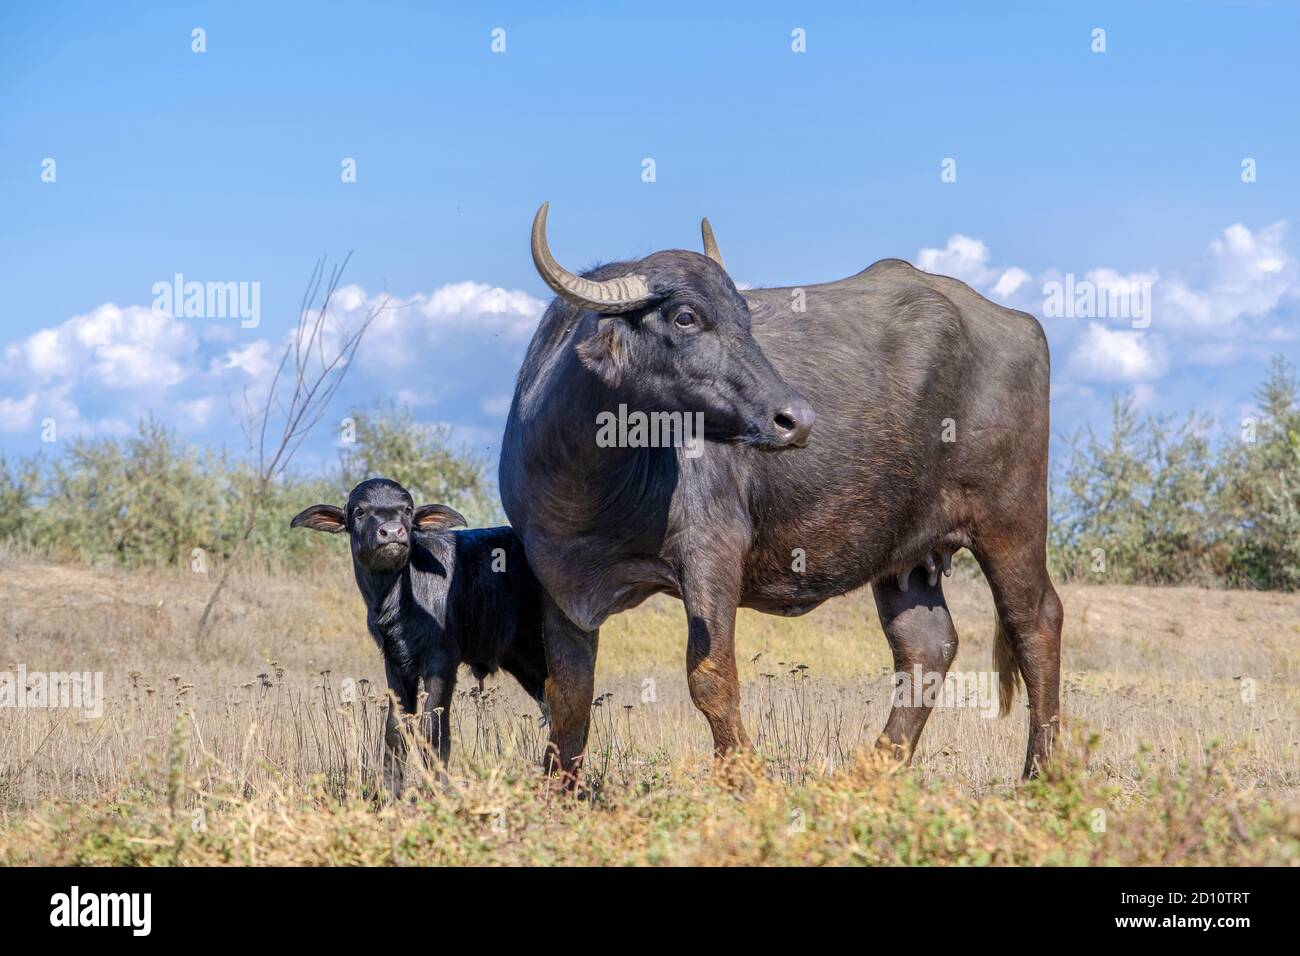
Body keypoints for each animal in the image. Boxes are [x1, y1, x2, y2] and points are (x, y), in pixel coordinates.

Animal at [291, 478, 547, 790]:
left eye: (407, 510)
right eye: (359, 511)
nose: (392, 532)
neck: (397, 597)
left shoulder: (442, 661)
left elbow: (433, 730)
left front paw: (439, 789)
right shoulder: (396, 661)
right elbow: (396, 728)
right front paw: (390, 792)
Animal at [499, 204, 1063, 788]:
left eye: (744, 317)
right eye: (685, 317)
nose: (796, 418)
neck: (590, 482)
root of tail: (1017, 322)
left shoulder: (711, 555)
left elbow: (710, 677)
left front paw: (745, 777)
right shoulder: (556, 578)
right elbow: (568, 695)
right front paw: (557, 787)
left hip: (1009, 520)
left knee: (1035, 624)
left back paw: (1039, 770)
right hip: (903, 551)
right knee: (926, 644)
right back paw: (873, 768)